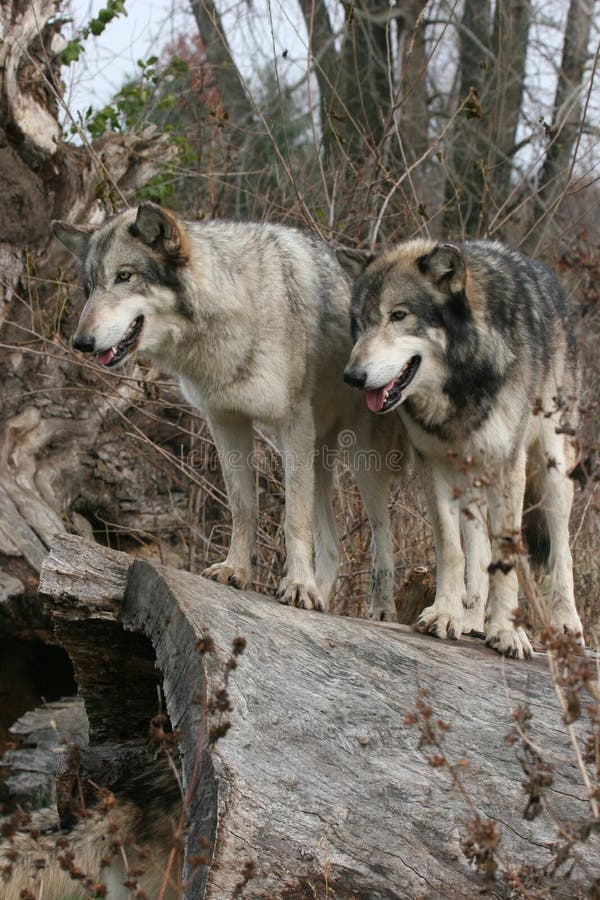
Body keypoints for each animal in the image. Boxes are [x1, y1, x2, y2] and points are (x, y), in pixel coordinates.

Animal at [52, 204, 403, 620]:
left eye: (124, 276)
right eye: (89, 288)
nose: (81, 342)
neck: (235, 307)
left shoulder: (293, 422)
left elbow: (293, 518)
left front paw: (298, 587)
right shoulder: (225, 420)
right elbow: (242, 505)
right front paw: (237, 570)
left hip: (362, 459)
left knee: (383, 536)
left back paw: (380, 611)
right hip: (317, 454)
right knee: (334, 547)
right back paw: (323, 596)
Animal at [339, 239, 583, 658]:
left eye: (398, 315)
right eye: (361, 322)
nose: (352, 377)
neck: (463, 379)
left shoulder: (508, 467)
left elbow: (507, 556)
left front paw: (507, 632)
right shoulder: (433, 463)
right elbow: (453, 548)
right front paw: (446, 614)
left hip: (552, 469)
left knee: (561, 548)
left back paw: (566, 624)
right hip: (452, 476)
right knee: (477, 548)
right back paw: (470, 620)